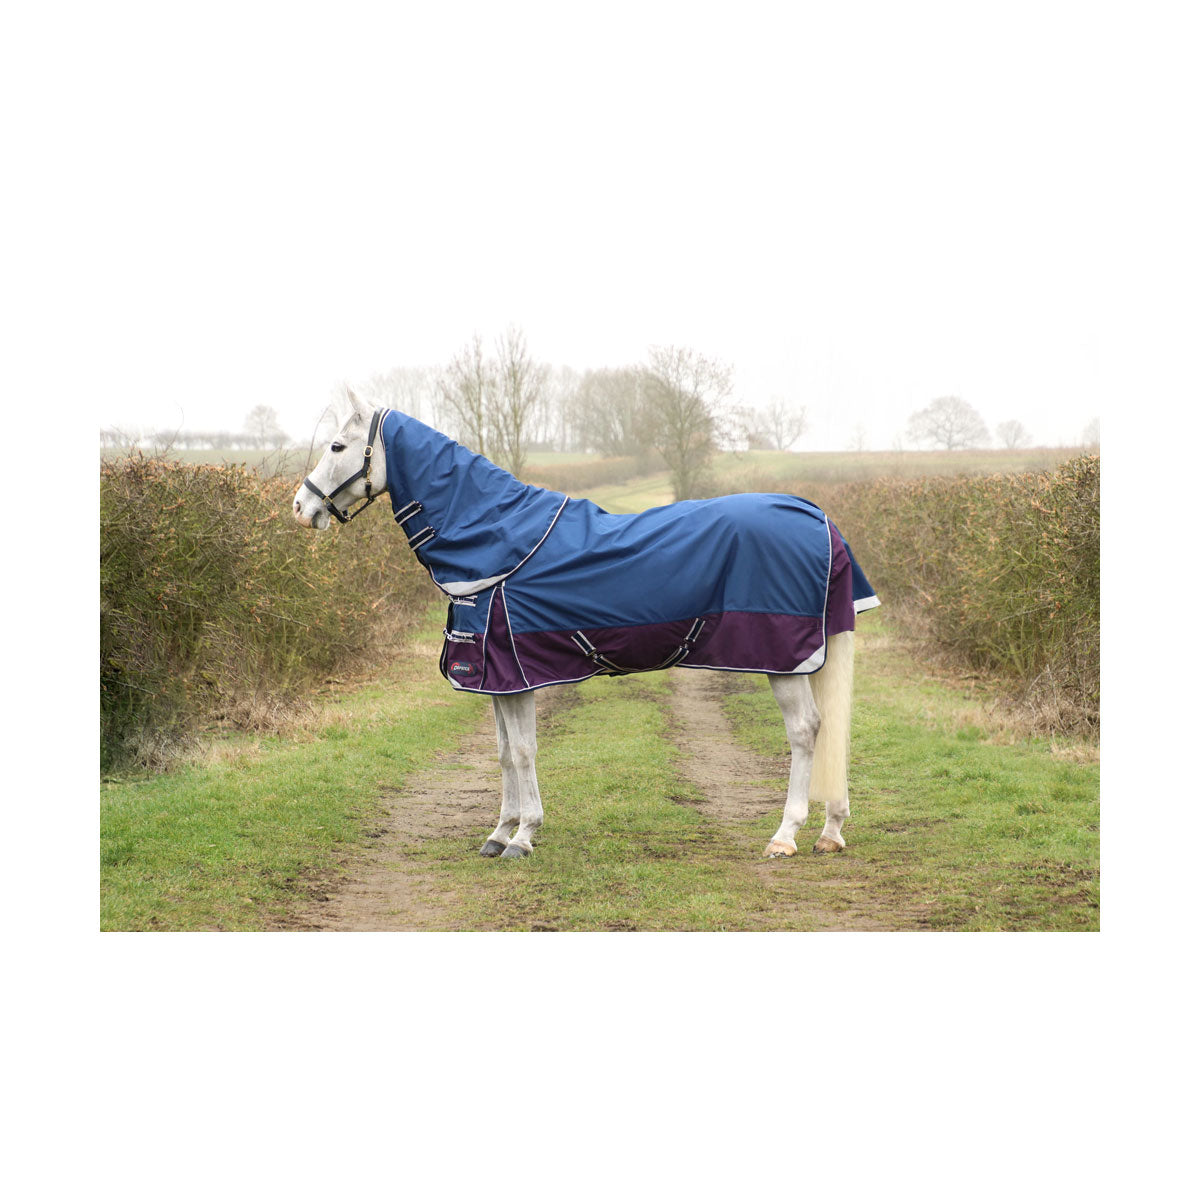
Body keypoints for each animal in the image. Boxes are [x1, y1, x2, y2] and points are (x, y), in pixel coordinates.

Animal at [293, 390, 879, 861]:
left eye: (338, 448)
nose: (300, 507)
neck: (497, 538)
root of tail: (817, 516)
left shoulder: (515, 674)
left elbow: (524, 751)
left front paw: (523, 837)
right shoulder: (494, 678)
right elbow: (503, 753)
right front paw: (498, 832)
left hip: (784, 660)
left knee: (806, 731)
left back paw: (785, 835)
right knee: (830, 731)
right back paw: (830, 832)